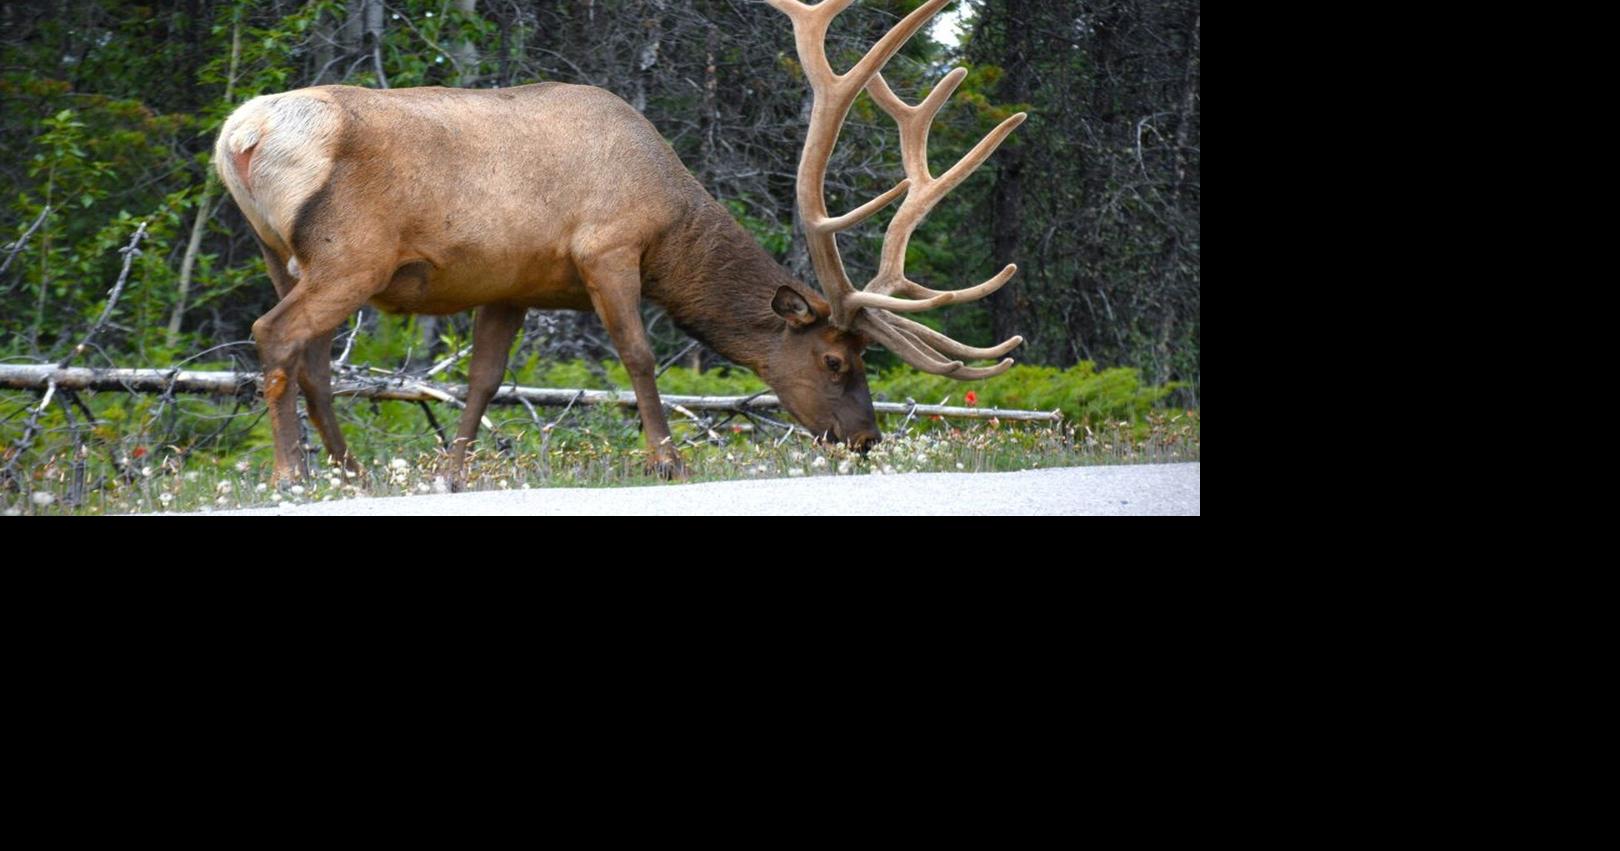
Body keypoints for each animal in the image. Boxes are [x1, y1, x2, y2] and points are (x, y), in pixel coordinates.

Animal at [213, 0, 1025, 487]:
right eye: (836, 359)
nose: (864, 439)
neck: (670, 221)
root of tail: (241, 135)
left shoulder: (511, 284)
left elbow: (484, 380)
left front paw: (453, 471)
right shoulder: (607, 248)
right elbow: (637, 355)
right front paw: (668, 461)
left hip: (282, 254)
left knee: (313, 359)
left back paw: (349, 471)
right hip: (350, 254)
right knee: (275, 335)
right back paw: (292, 473)